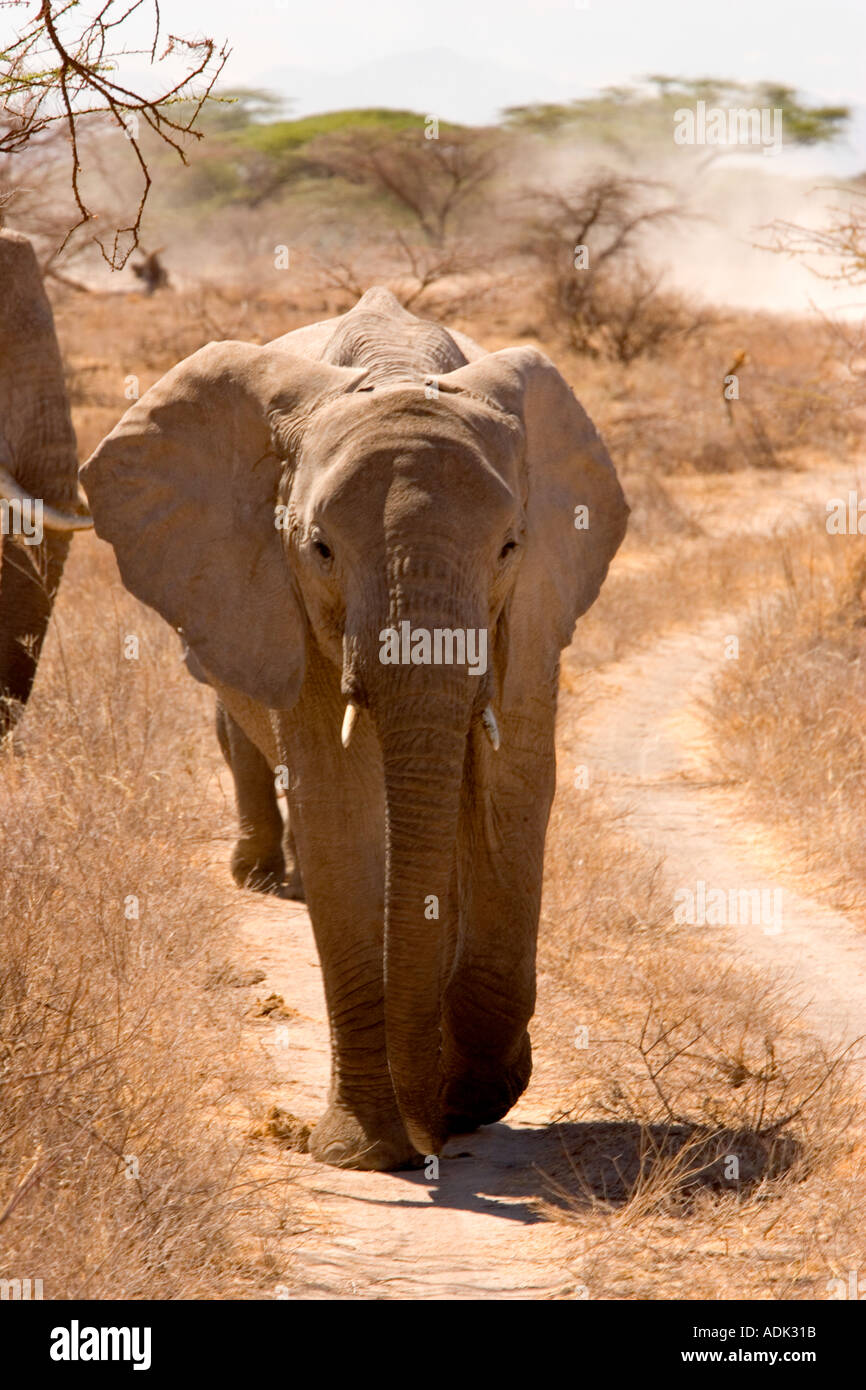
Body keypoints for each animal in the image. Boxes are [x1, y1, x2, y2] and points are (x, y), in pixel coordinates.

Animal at [80, 286, 629, 1170]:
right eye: (322, 549)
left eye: (510, 546)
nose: (436, 1127)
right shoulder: (284, 597)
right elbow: (340, 813)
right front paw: (367, 1153)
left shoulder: (534, 605)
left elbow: (512, 791)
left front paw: (474, 1093)